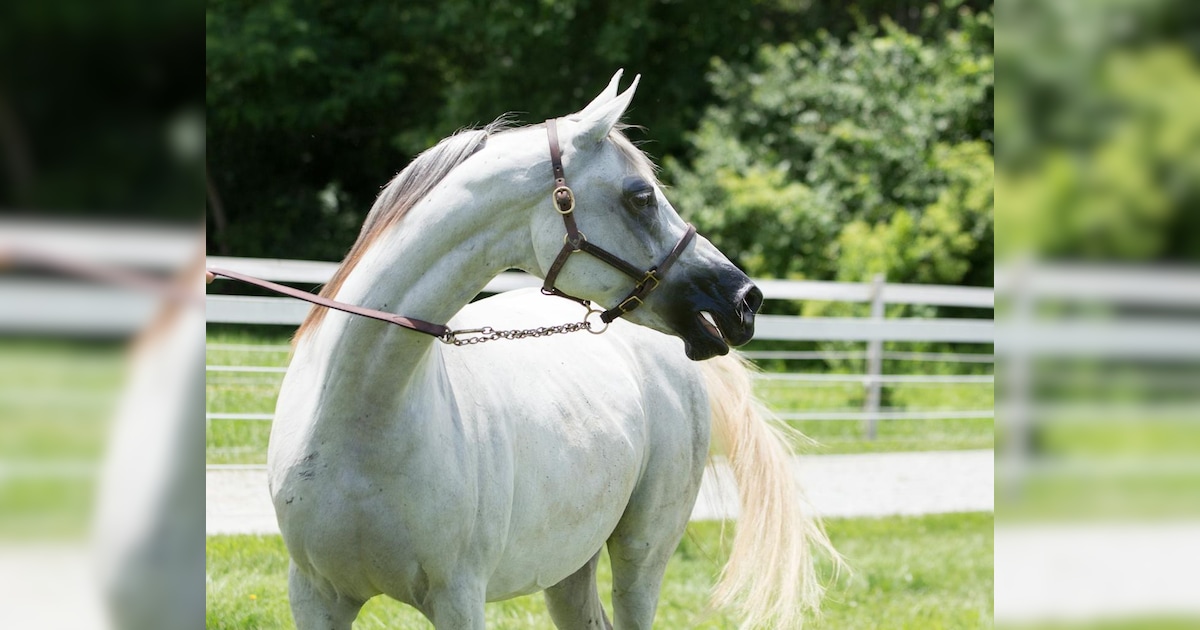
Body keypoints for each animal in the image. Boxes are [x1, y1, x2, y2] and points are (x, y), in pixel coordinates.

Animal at [269, 70, 836, 629]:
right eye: (641, 197)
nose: (744, 300)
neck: (362, 418)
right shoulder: (315, 597)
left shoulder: (458, 598)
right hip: (568, 564)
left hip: (641, 555)